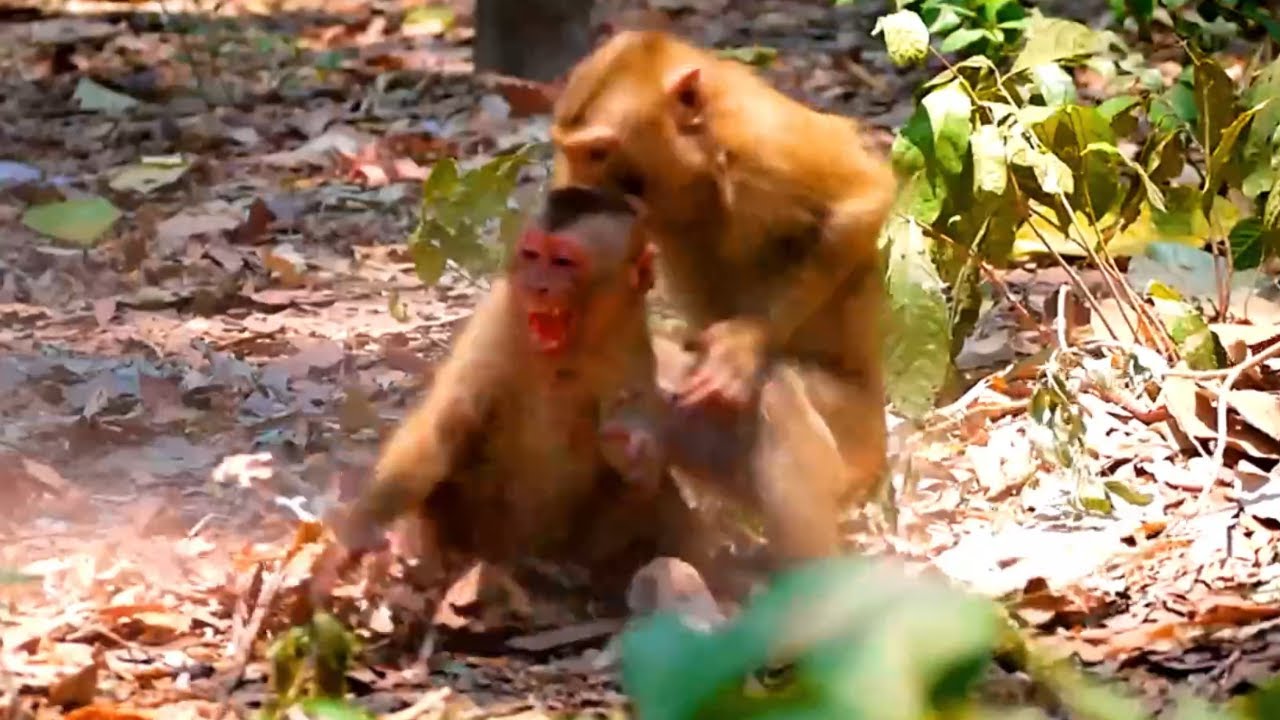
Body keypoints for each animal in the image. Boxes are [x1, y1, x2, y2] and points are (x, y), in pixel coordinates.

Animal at [318, 185, 714, 600]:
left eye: (563, 262)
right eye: (532, 255)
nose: (535, 284)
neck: (566, 346)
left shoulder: (629, 343)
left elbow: (641, 462)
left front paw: (636, 455)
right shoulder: (500, 315)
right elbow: (447, 424)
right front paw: (360, 528)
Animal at [549, 29, 899, 567]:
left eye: (598, 152)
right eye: (573, 153)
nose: (571, 188)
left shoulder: (767, 142)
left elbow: (863, 197)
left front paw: (744, 343)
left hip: (855, 443)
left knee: (776, 398)